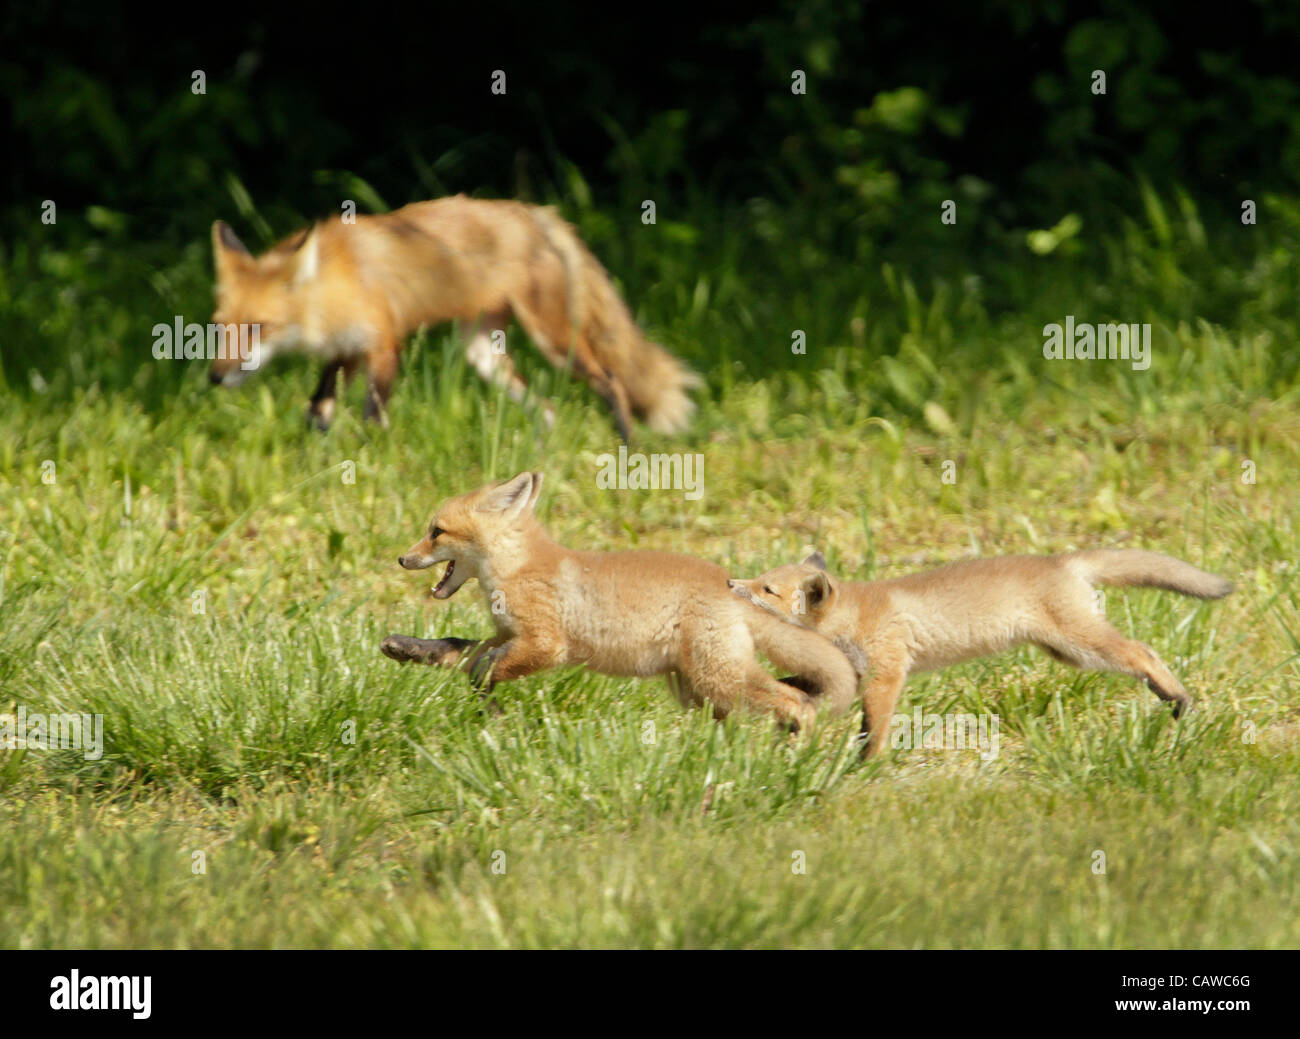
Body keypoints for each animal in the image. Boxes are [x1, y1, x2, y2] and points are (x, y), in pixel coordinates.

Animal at [209, 196, 700, 438]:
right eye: (219, 328)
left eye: (259, 328)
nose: (214, 378)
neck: (337, 278)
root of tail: (533, 212)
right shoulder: (345, 351)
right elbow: (318, 410)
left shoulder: (383, 344)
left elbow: (372, 418)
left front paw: (370, 464)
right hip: (482, 354)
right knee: (547, 409)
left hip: (554, 341)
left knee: (612, 382)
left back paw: (626, 446)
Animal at [378, 471, 858, 731]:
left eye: (435, 532)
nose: (402, 558)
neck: (516, 569)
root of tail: (733, 585)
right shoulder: (506, 635)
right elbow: (457, 649)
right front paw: (407, 648)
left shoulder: (545, 644)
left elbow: (482, 668)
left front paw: (489, 706)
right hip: (698, 690)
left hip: (720, 679)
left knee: (796, 702)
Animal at [728, 549, 1233, 757]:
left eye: (767, 589)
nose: (731, 582)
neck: (853, 616)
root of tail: (1061, 560)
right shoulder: (852, 672)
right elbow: (796, 689)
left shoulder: (887, 673)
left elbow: (875, 727)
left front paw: (866, 764)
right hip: (1067, 653)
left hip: (1085, 645)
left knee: (1143, 652)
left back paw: (1180, 701)